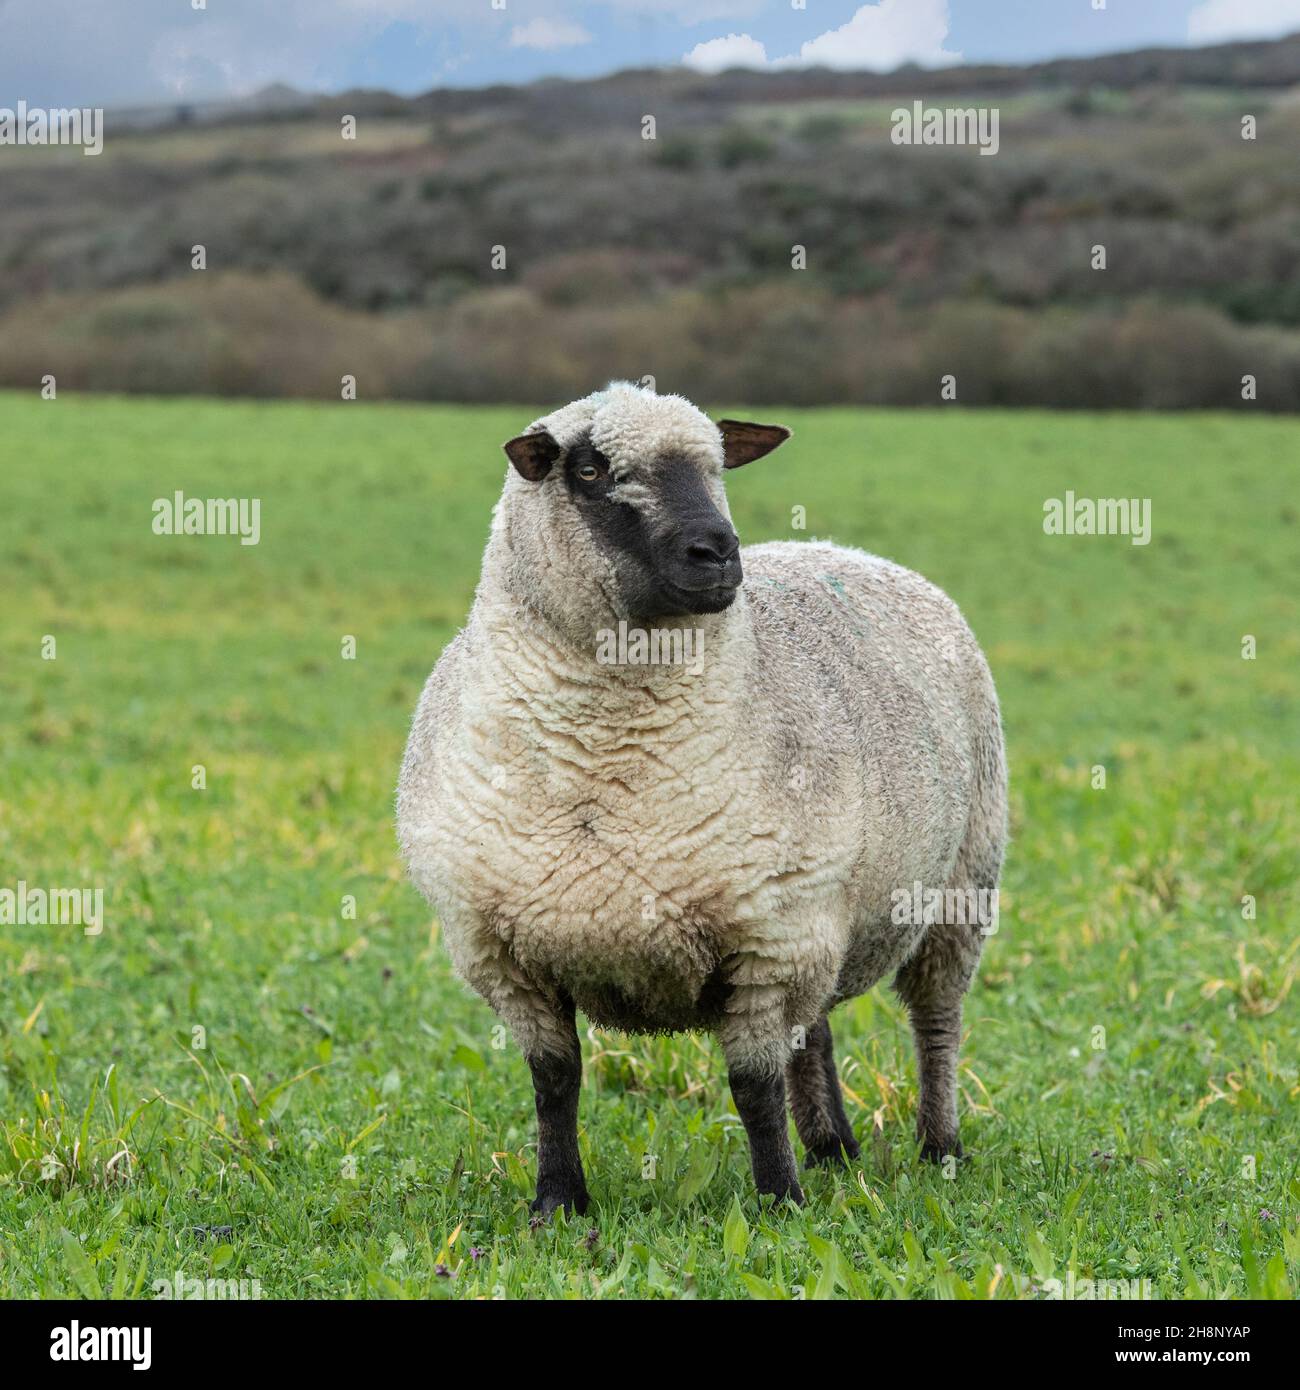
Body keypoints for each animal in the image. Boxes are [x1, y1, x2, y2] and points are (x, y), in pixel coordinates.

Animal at [397, 381, 1007, 1212]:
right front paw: (557, 1201)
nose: (718, 550)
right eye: (590, 469)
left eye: (718, 466)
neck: (604, 762)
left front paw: (779, 1201)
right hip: (828, 912)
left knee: (936, 1022)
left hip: (957, 884)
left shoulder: (768, 938)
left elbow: (752, 1087)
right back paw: (832, 1149)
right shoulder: (502, 954)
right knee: (814, 1032)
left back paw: (938, 1147)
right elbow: (555, 1083)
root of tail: (845, 551)